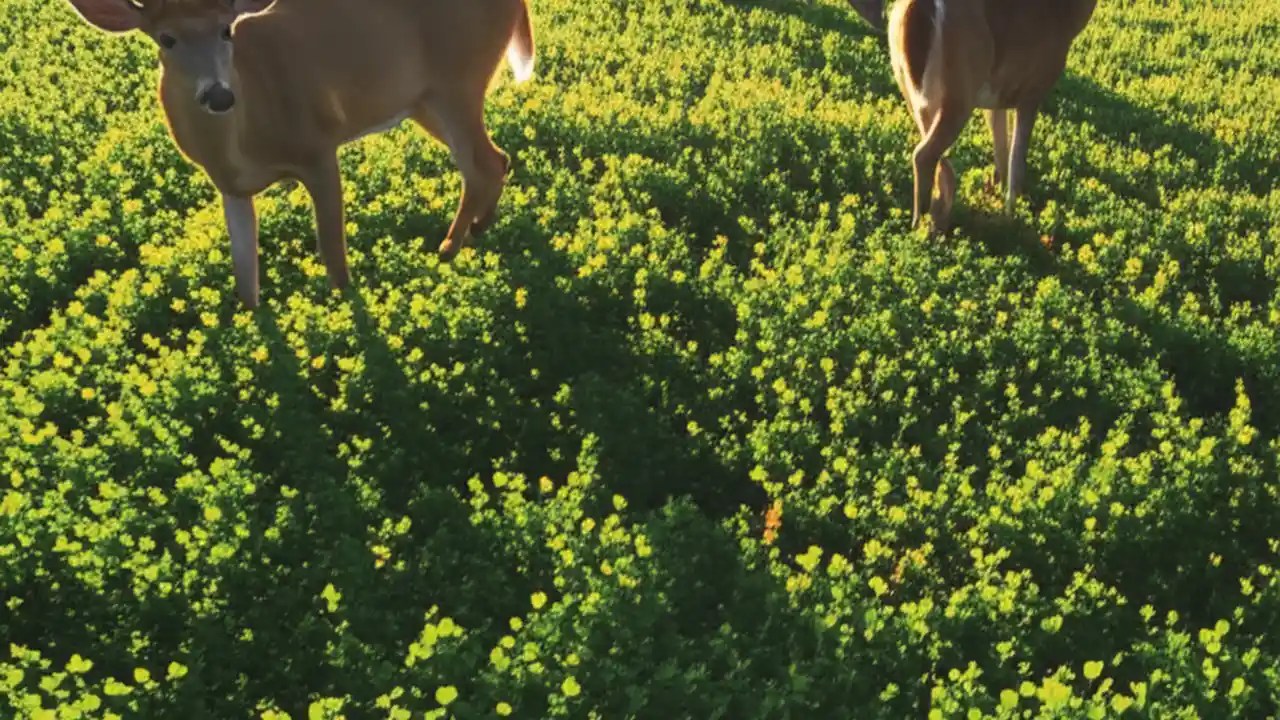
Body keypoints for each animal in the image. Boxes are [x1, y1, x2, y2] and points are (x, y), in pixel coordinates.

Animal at [62, 0, 536, 309]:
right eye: (166, 38)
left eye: (225, 31)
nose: (218, 95)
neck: (243, 144)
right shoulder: (229, 186)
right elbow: (245, 274)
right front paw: (251, 326)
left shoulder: (318, 144)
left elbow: (333, 254)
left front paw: (345, 312)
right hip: (422, 99)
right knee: (496, 160)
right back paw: (477, 229)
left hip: (457, 79)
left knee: (481, 164)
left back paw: (448, 248)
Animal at [886, 0, 1097, 233]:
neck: (1065, 15)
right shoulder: (1032, 92)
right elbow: (1017, 160)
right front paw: (1012, 217)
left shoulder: (997, 98)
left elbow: (1001, 148)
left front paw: (998, 196)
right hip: (958, 90)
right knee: (924, 155)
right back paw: (921, 228)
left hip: (912, 90)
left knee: (937, 160)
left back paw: (938, 220)